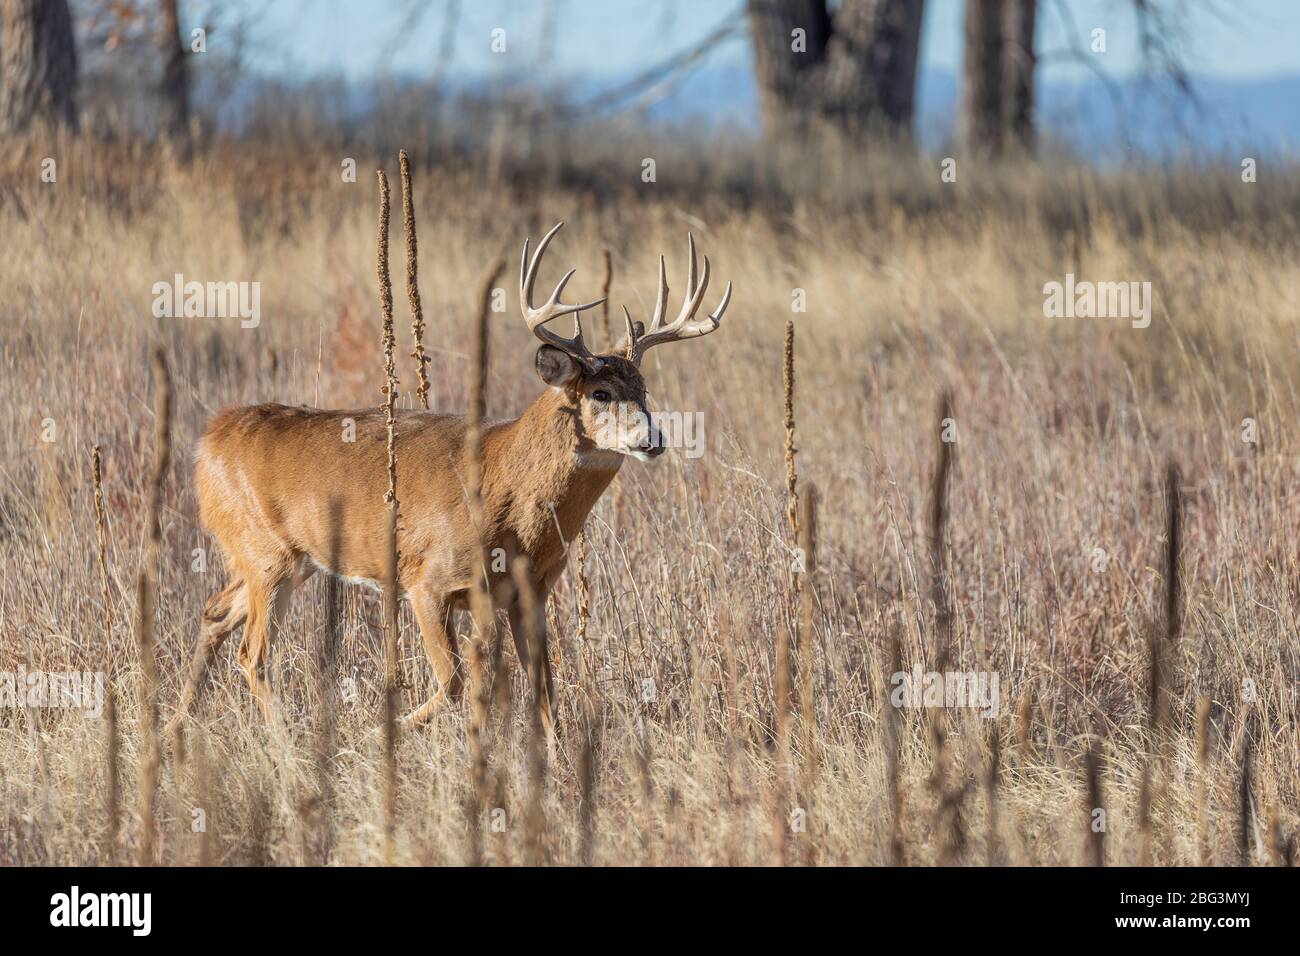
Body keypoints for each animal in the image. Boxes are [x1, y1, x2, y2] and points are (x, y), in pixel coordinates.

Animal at [166, 222, 731, 738]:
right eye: (600, 392)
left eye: (644, 389)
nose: (654, 438)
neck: (510, 498)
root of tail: (209, 443)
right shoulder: (428, 580)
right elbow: (458, 681)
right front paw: (386, 729)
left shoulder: (532, 592)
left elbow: (543, 692)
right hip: (267, 553)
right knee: (252, 654)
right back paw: (286, 745)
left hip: (285, 557)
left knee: (214, 613)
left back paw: (176, 724)